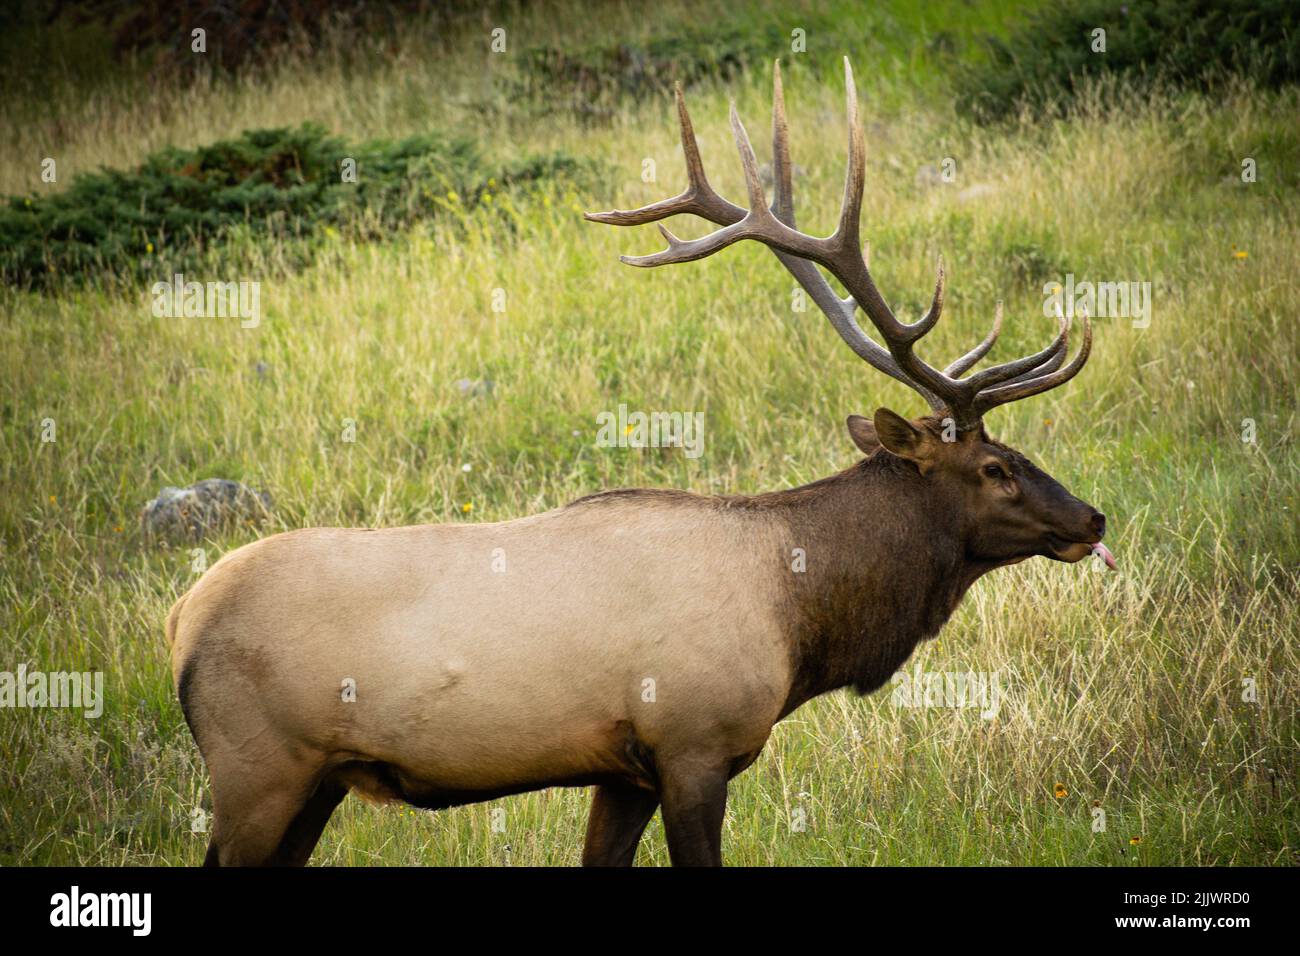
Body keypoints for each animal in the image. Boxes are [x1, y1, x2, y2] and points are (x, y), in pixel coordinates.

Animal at [166, 60, 1113, 868]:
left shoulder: (621, 770)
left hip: (316, 784)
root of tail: (179, 621)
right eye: (995, 468)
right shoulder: (692, 744)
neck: (800, 613)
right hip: (261, 769)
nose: (1094, 517)